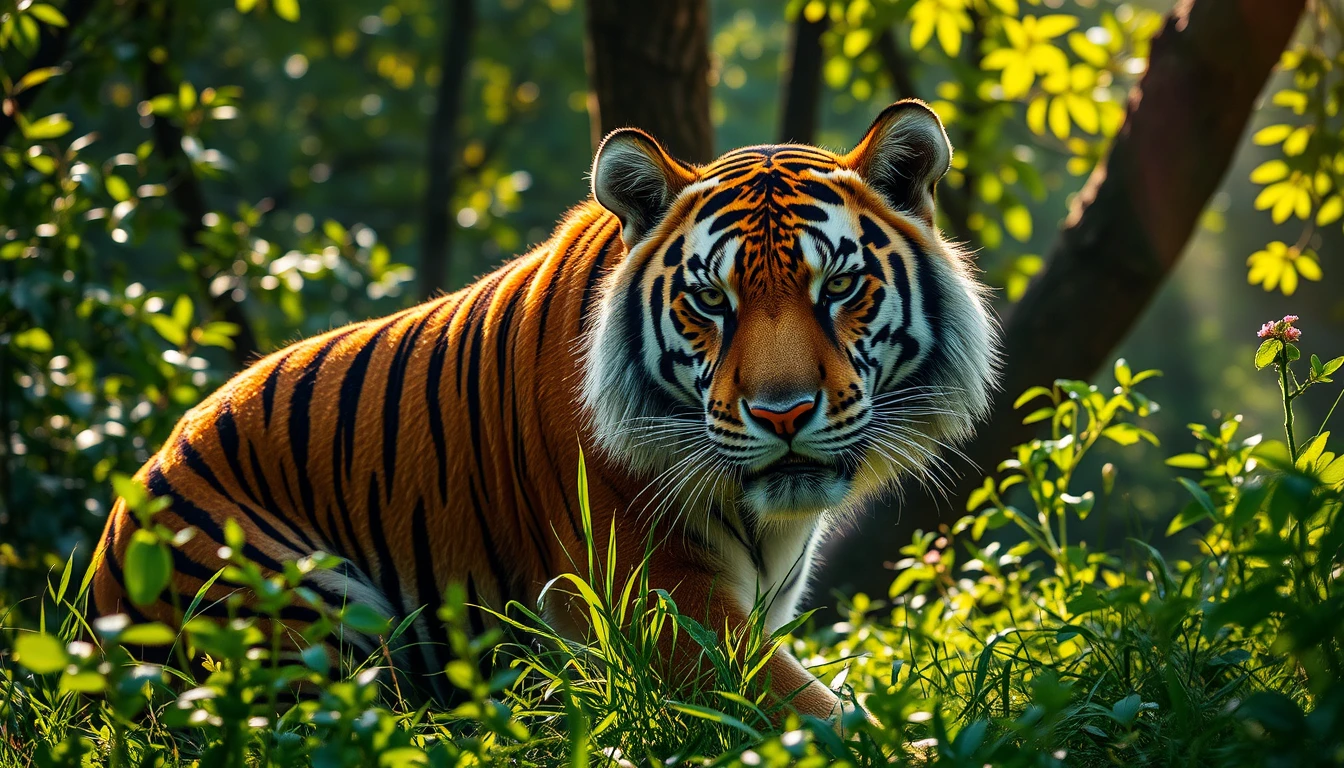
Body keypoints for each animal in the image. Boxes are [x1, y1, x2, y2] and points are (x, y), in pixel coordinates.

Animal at [89, 99, 998, 721]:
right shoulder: (655, 595)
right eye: (711, 300)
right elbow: (805, 715)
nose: (782, 414)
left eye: (837, 287)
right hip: (290, 613)